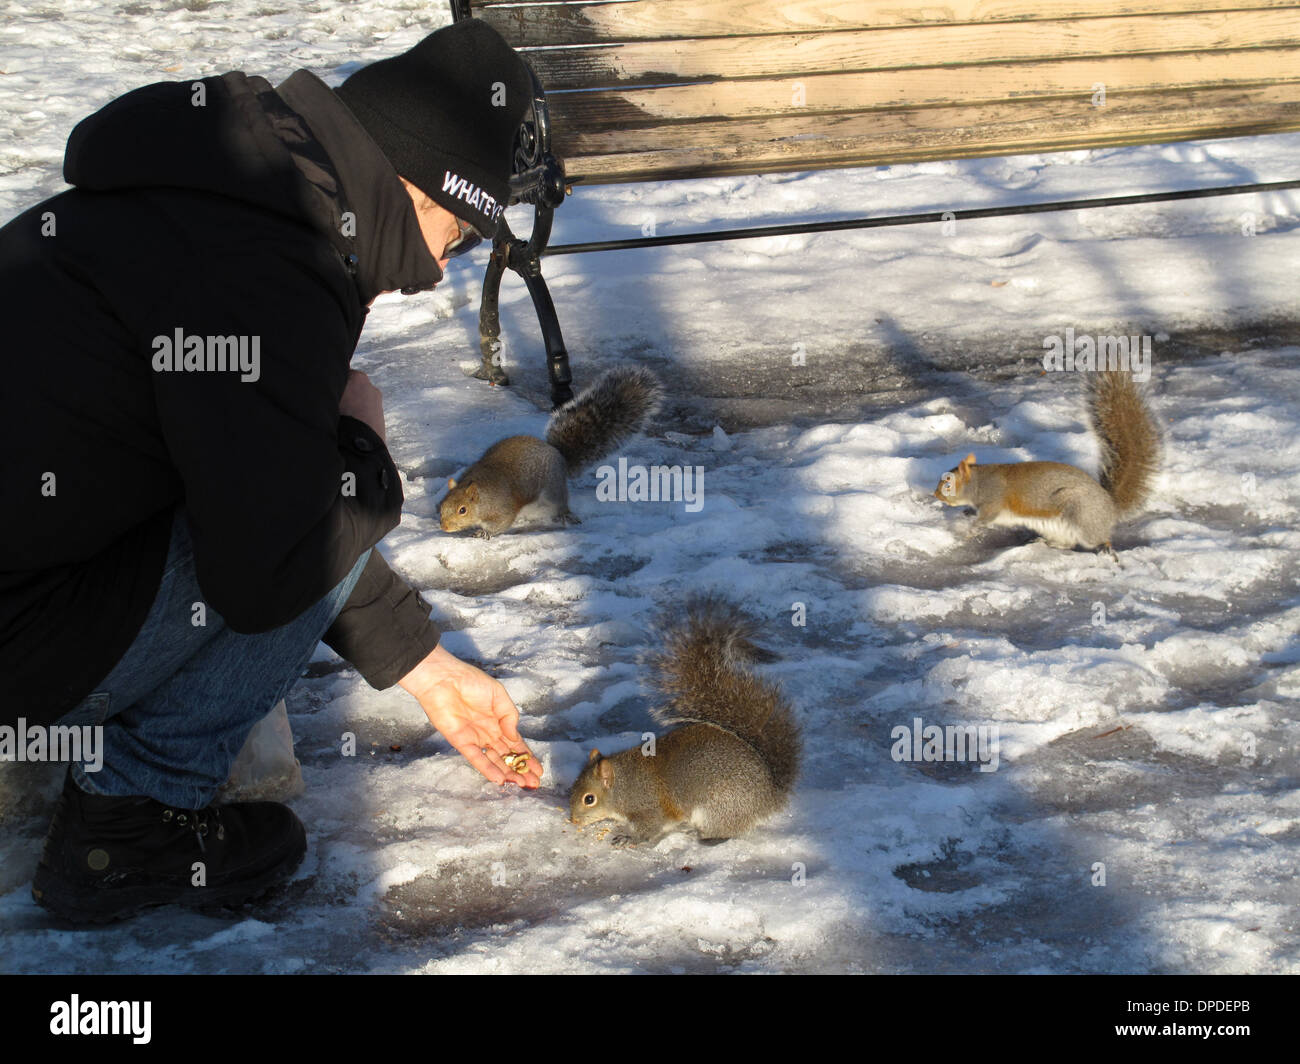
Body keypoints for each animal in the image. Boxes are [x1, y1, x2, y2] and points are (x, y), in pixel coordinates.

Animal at [440, 365, 663, 537]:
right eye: (442, 505)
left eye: (462, 510)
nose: (444, 527)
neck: (483, 494)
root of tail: (558, 454)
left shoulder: (502, 508)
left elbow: (501, 523)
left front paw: (484, 532)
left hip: (553, 490)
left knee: (561, 504)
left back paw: (565, 515)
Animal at [569, 597, 800, 845]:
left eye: (589, 799)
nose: (573, 820)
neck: (624, 785)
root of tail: (770, 796)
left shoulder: (650, 808)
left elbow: (650, 828)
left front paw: (629, 838)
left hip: (717, 807)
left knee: (728, 830)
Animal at [932, 368, 1161, 557]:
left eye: (948, 483)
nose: (935, 495)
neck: (979, 481)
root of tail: (1110, 506)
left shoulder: (993, 501)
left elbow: (985, 519)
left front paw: (971, 530)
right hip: (1059, 528)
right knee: (1068, 543)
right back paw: (1046, 542)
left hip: (1080, 515)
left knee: (1098, 538)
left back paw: (1105, 549)